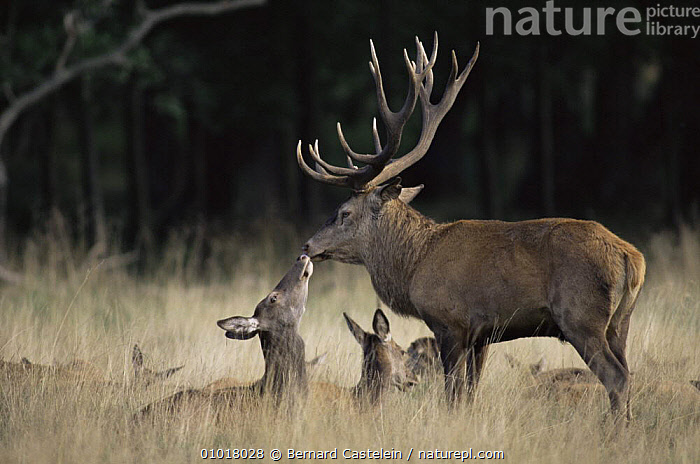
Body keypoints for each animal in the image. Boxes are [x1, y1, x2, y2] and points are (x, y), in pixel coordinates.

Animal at [295, 32, 646, 420]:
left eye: (344, 212)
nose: (308, 246)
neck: (414, 264)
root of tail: (633, 259)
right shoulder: (484, 335)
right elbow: (471, 393)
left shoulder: (451, 323)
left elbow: (453, 394)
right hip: (620, 322)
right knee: (628, 372)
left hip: (581, 316)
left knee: (616, 377)